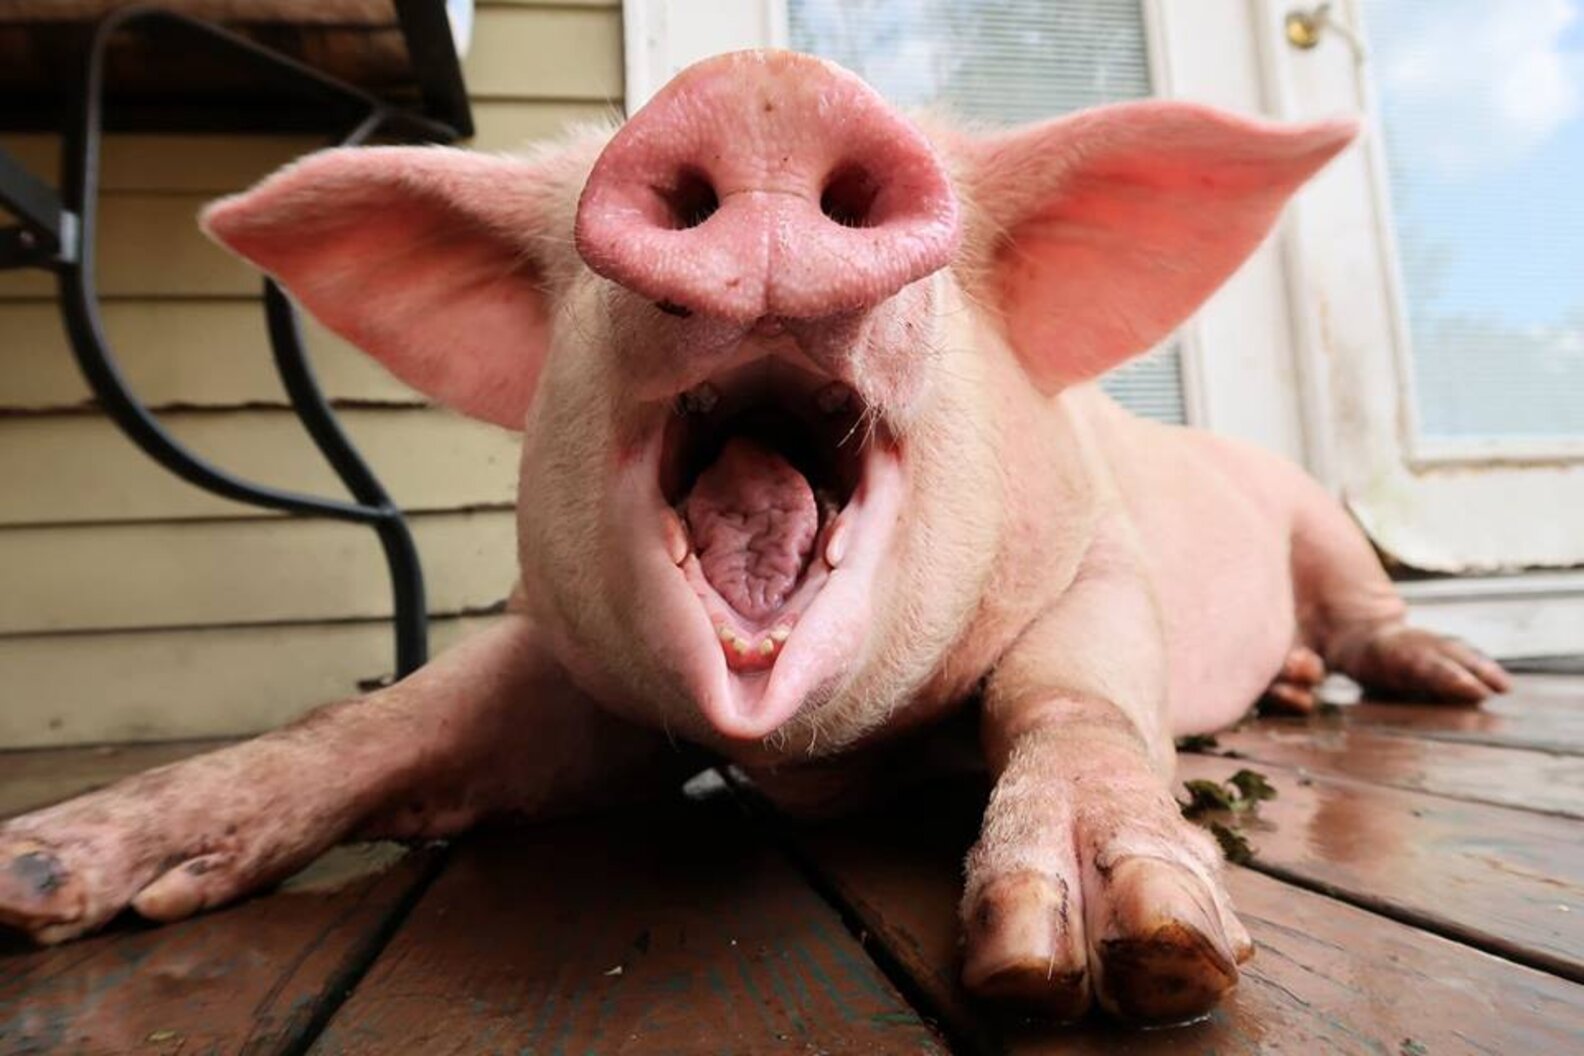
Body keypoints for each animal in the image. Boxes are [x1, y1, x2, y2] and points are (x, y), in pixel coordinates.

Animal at [0, 51, 1508, 1024]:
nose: (763, 86)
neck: (826, 762)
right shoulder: (573, 662)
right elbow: (390, 721)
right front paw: (41, 875)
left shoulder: (1103, 563)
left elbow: (1067, 689)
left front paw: (1117, 954)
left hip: (1321, 523)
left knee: (1367, 612)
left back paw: (1448, 681)